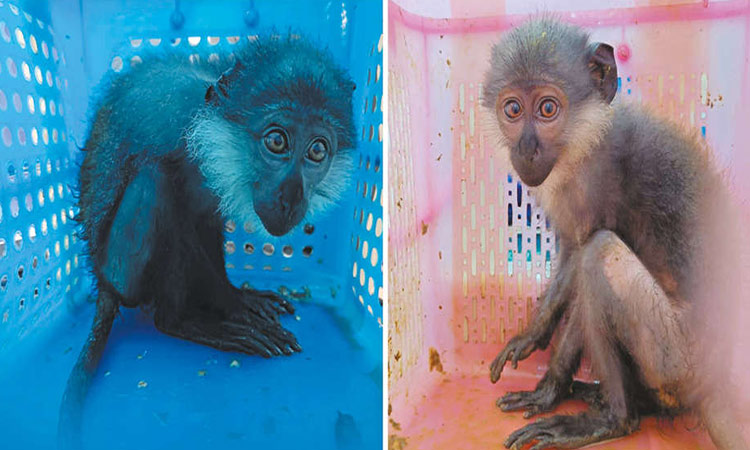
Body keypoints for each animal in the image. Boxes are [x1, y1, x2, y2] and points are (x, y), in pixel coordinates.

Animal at [57, 36, 356, 449]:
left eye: (317, 150)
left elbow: (208, 222)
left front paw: (241, 295)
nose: (293, 197)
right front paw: (234, 304)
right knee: (155, 180)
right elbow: (184, 223)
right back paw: (181, 320)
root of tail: (102, 281)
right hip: (123, 272)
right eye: (276, 141)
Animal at [482, 17, 749, 450]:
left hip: (675, 358)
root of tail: (712, 384)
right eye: (513, 109)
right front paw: (534, 336)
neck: (584, 141)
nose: (526, 149)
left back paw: (615, 418)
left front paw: (550, 387)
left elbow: (584, 257)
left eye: (548, 108)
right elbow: (570, 255)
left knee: (600, 252)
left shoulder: (597, 180)